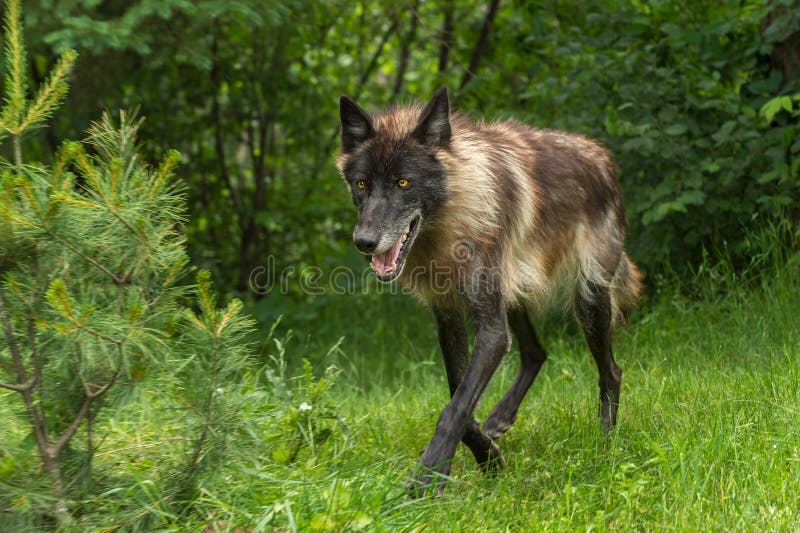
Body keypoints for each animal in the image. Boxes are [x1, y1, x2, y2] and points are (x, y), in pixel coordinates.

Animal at [336, 87, 642, 496]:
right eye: (361, 184)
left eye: (403, 183)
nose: (364, 242)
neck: (446, 225)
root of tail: (602, 155)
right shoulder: (449, 314)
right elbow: (458, 394)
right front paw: (489, 458)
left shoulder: (491, 330)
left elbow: (454, 408)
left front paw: (426, 482)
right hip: (512, 296)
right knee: (536, 352)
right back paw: (501, 418)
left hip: (589, 302)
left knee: (612, 371)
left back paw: (605, 442)